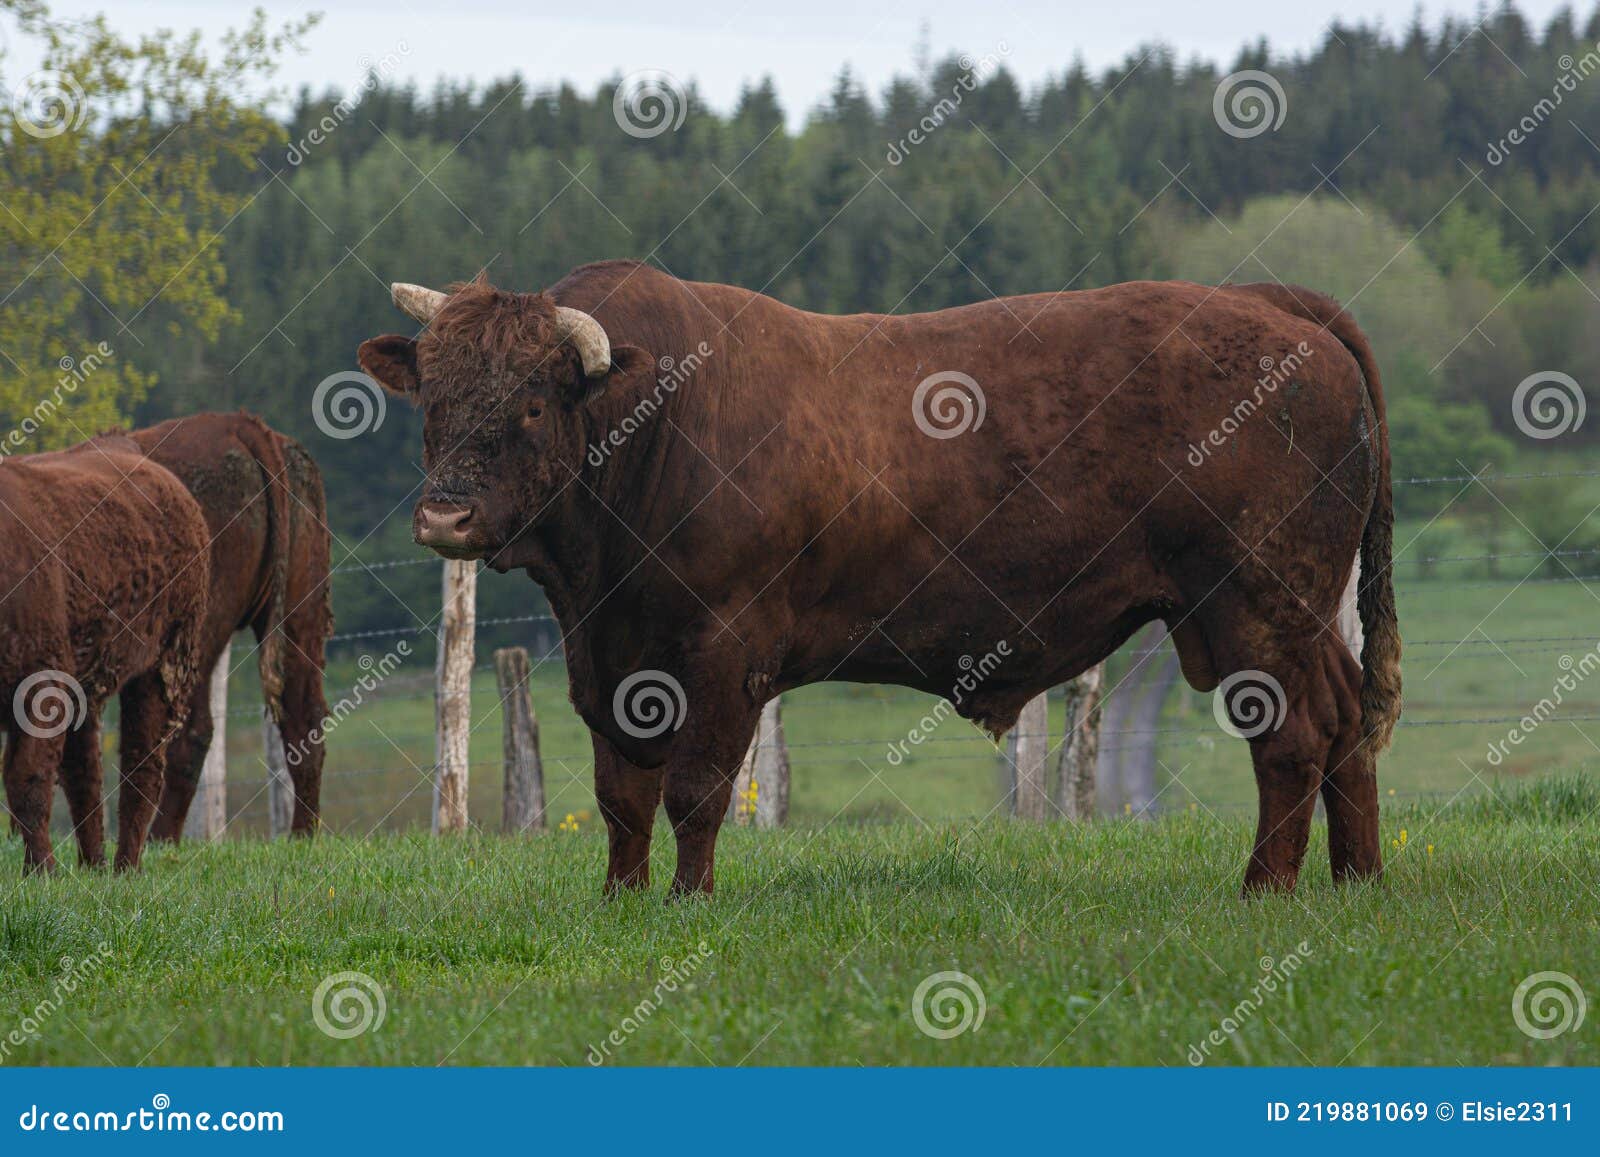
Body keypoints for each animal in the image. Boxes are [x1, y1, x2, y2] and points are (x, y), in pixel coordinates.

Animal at [0, 435, 210, 872]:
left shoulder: (40, 683)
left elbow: (27, 780)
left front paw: (41, 870)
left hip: (162, 668)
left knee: (141, 767)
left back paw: (125, 866)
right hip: (88, 684)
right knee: (85, 773)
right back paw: (93, 863)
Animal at [123, 413, 335, 841]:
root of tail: (238, 423)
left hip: (197, 635)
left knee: (191, 732)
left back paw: (158, 839)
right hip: (300, 613)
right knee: (304, 718)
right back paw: (302, 836)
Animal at [356, 261, 1401, 898]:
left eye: (533, 403)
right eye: (433, 399)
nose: (444, 517)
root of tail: (1271, 300)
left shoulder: (724, 650)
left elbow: (695, 786)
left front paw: (686, 904)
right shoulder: (610, 656)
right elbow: (623, 793)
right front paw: (620, 900)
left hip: (1258, 605)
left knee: (1294, 738)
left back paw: (1264, 891)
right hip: (1290, 614)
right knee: (1347, 721)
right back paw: (1356, 880)